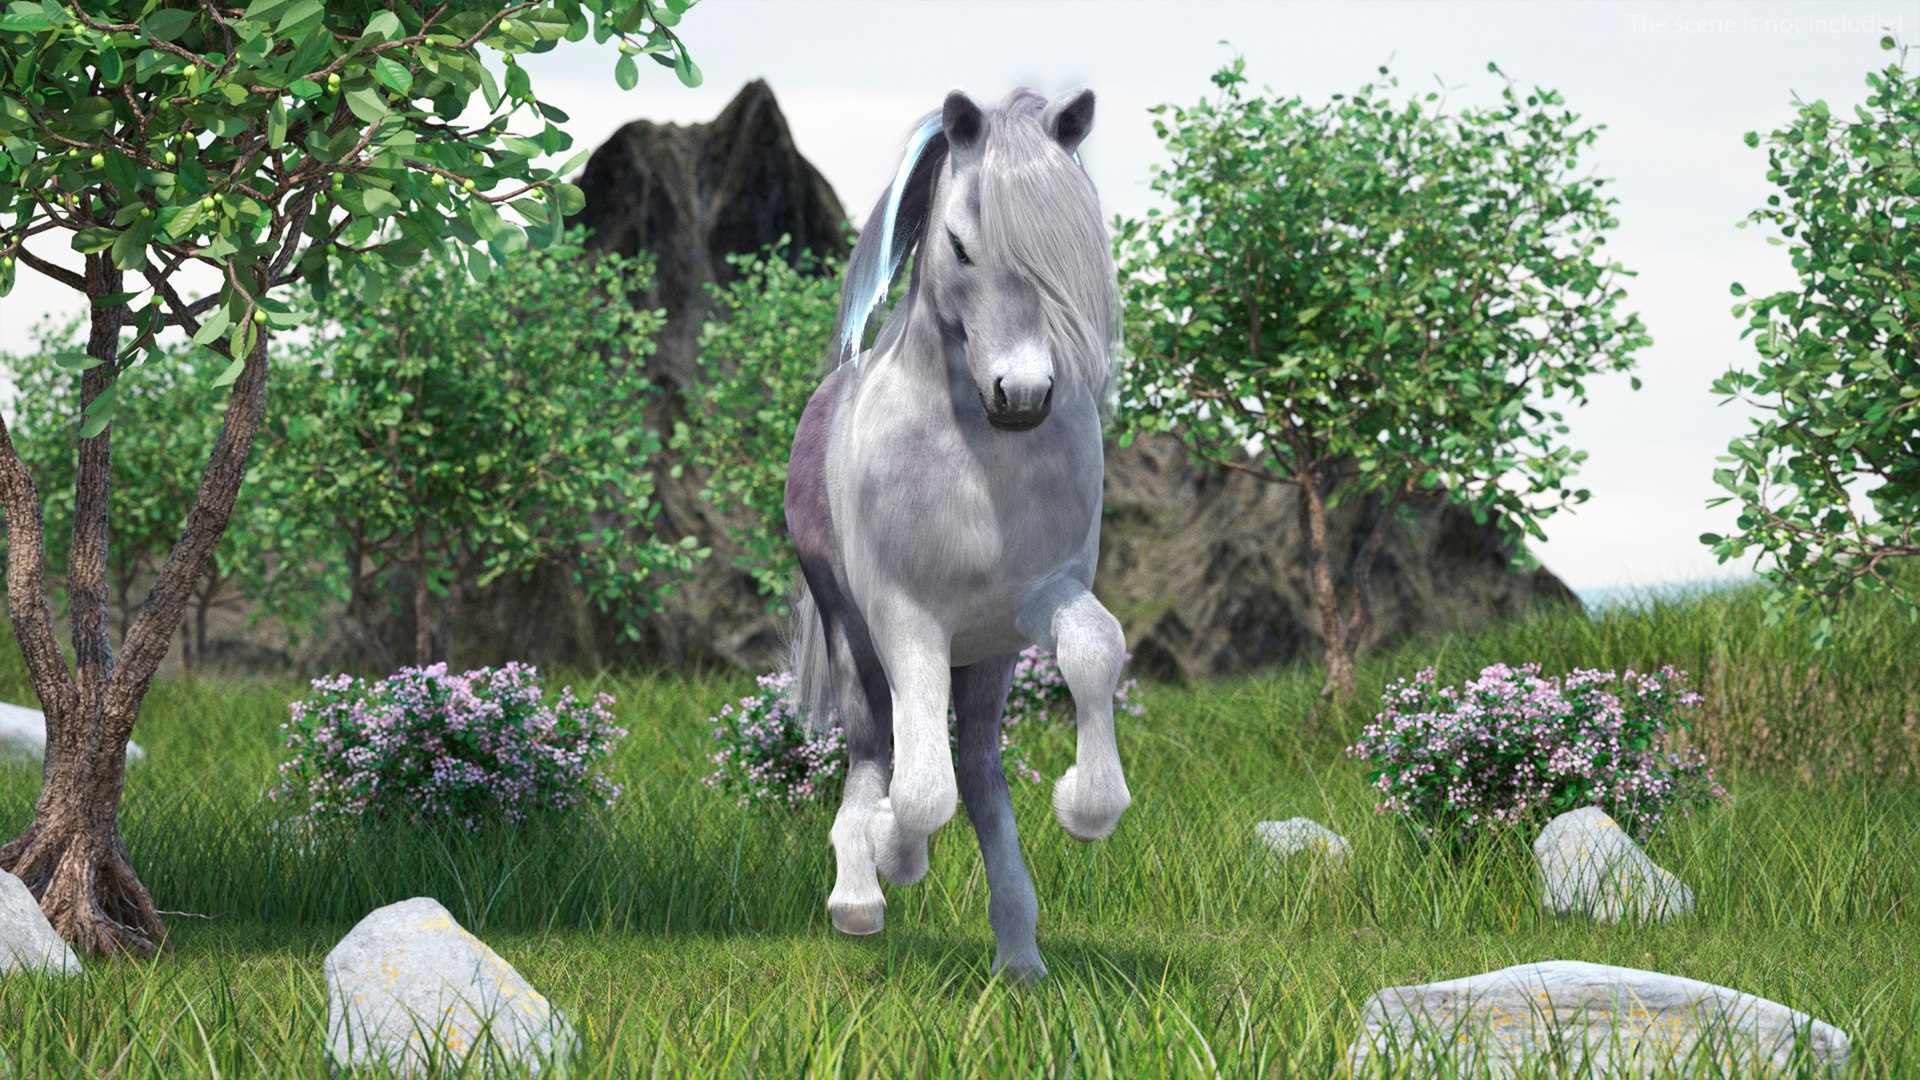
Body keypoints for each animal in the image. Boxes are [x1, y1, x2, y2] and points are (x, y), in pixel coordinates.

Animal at [784, 86, 1130, 981]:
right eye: (959, 246)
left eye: (1072, 243)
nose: (1025, 395)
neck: (981, 458)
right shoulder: (906, 618)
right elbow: (918, 788)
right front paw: (894, 855)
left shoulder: (1037, 597)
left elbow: (1096, 649)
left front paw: (1088, 805)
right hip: (849, 626)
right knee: (875, 752)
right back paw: (860, 898)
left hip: (989, 655)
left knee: (977, 766)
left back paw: (1019, 956)